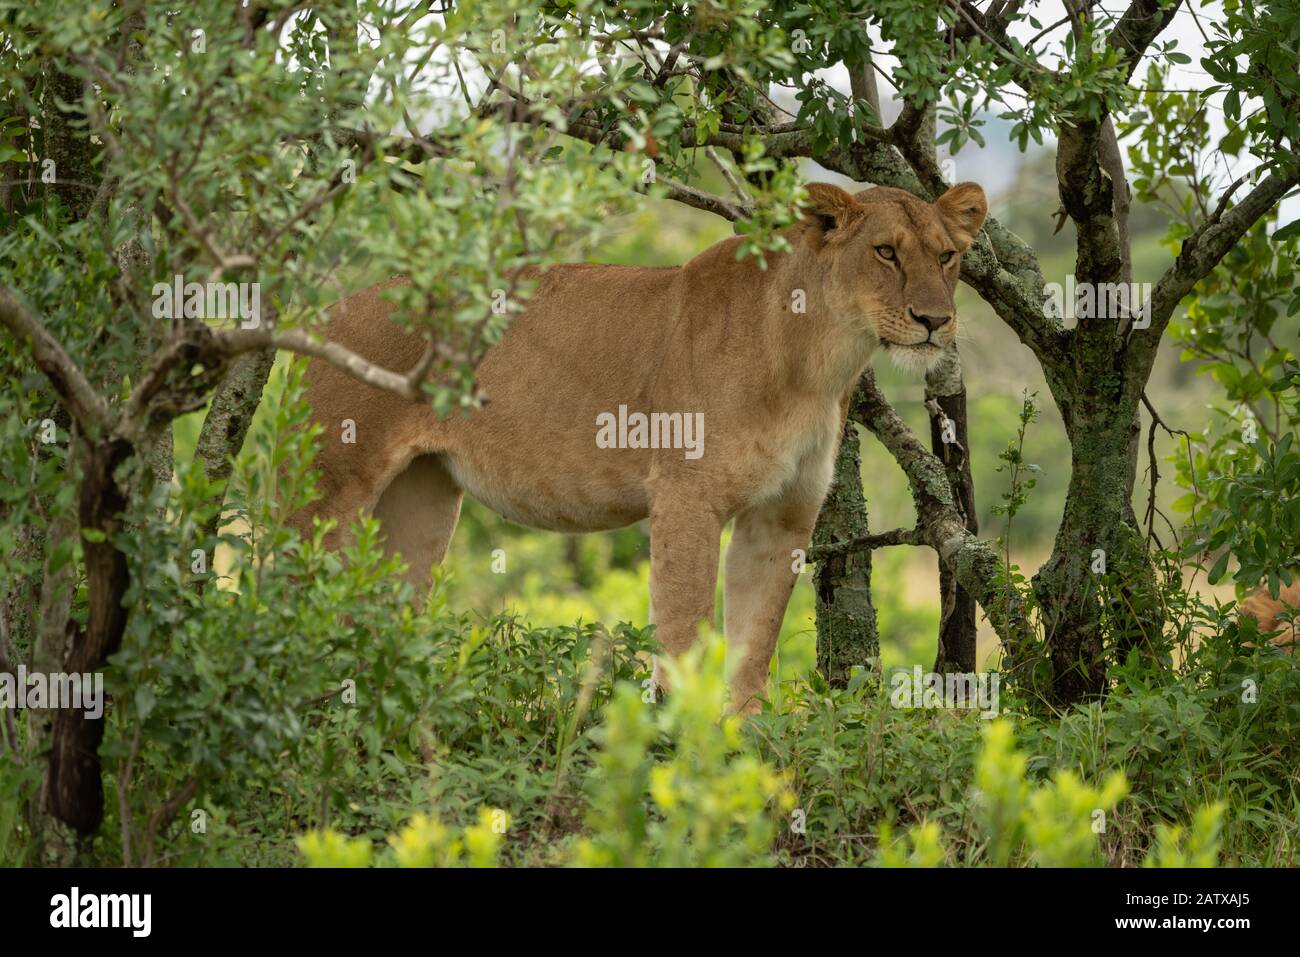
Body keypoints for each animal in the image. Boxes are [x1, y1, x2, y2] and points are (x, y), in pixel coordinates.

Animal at [291, 181, 989, 712]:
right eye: (885, 253)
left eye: (947, 257)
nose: (935, 321)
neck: (818, 361)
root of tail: (325, 311)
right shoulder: (687, 496)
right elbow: (685, 626)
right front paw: (686, 735)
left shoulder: (783, 515)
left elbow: (754, 635)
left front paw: (747, 735)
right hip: (330, 487)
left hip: (422, 498)